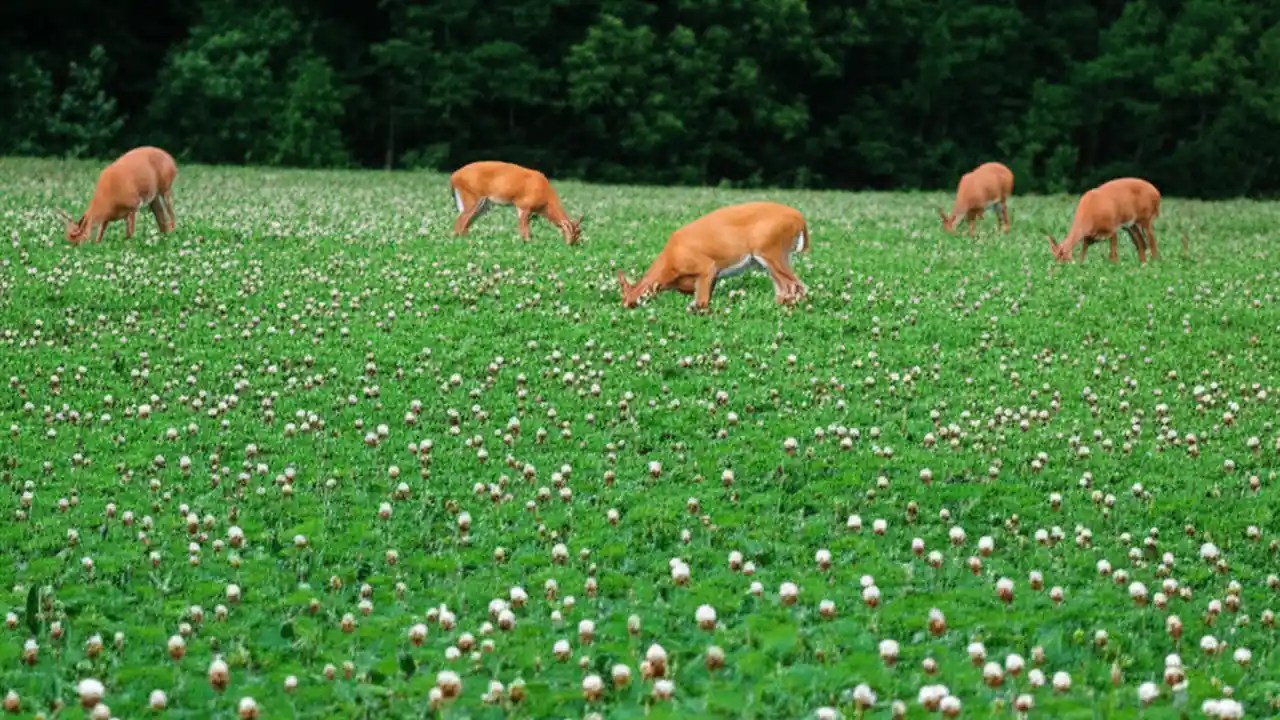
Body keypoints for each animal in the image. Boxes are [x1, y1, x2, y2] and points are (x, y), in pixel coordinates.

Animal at [449, 161, 584, 245]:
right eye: (576, 232)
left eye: (580, 232)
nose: (574, 245)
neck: (545, 201)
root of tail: (453, 177)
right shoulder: (524, 205)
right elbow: (523, 229)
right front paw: (528, 242)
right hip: (471, 197)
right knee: (460, 221)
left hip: (483, 204)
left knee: (465, 223)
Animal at [617, 201, 809, 311]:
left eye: (632, 298)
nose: (625, 307)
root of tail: (800, 218)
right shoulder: (712, 275)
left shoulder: (706, 266)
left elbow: (702, 302)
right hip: (772, 259)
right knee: (785, 288)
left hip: (771, 251)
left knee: (796, 286)